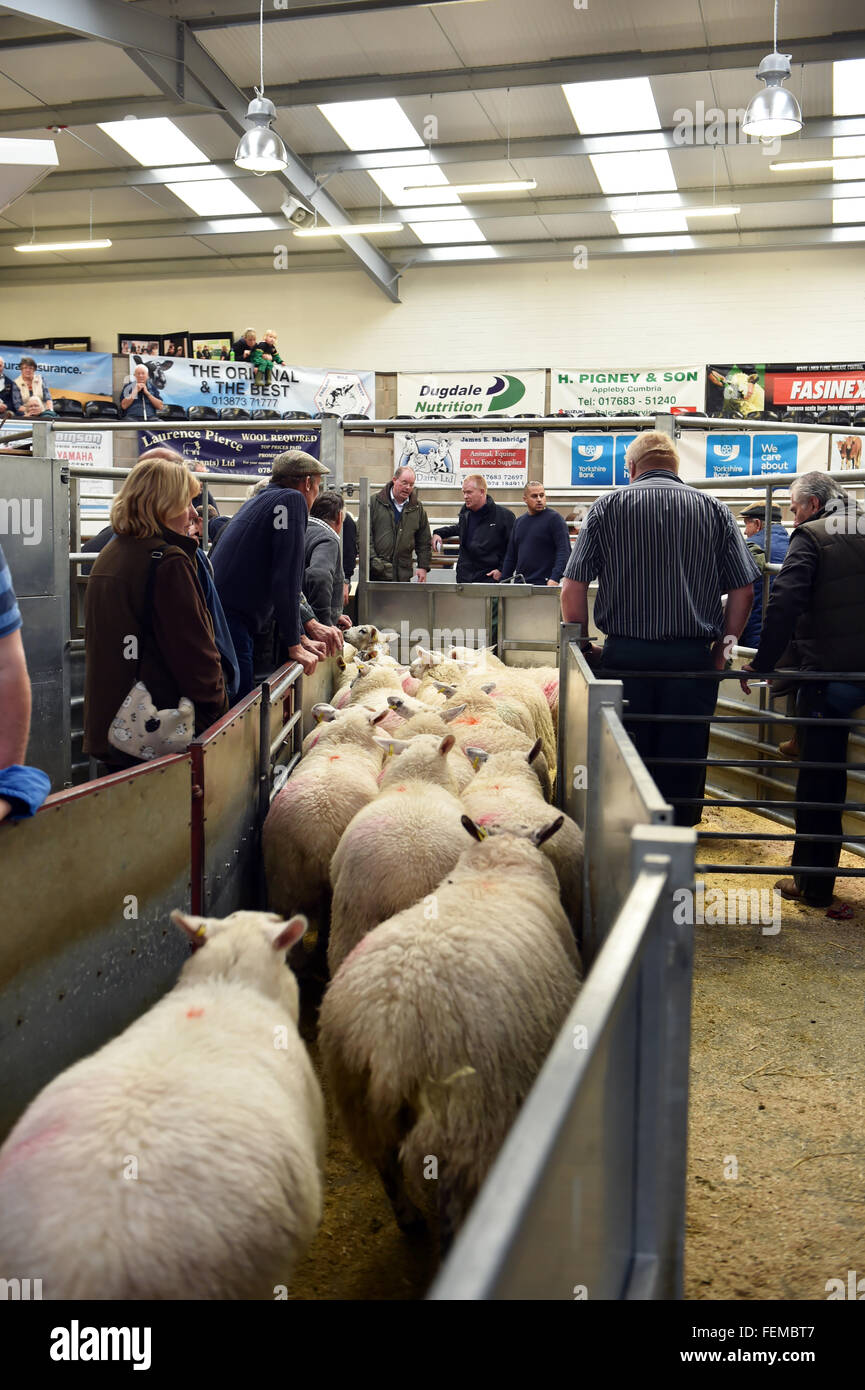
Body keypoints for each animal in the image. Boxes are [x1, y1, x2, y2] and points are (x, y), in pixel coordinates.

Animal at [319, 820, 581, 1247]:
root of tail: (389, 1033)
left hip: (356, 1099)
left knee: (386, 1164)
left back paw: (409, 1219)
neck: (495, 871)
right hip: (462, 1122)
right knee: (449, 1204)